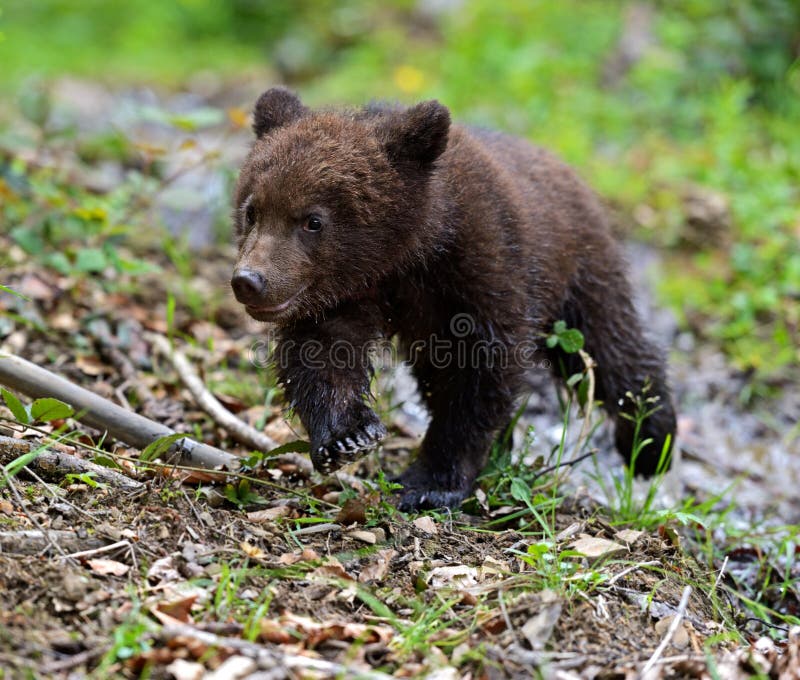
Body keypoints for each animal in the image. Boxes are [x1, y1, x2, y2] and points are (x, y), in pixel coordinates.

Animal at [230, 87, 677, 510]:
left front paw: (431, 482)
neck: (405, 255)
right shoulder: (342, 294)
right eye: (253, 210)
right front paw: (348, 436)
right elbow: (322, 354)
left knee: (607, 347)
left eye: (313, 220)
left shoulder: (481, 267)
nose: (249, 280)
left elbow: (477, 374)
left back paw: (651, 440)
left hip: (578, 272)